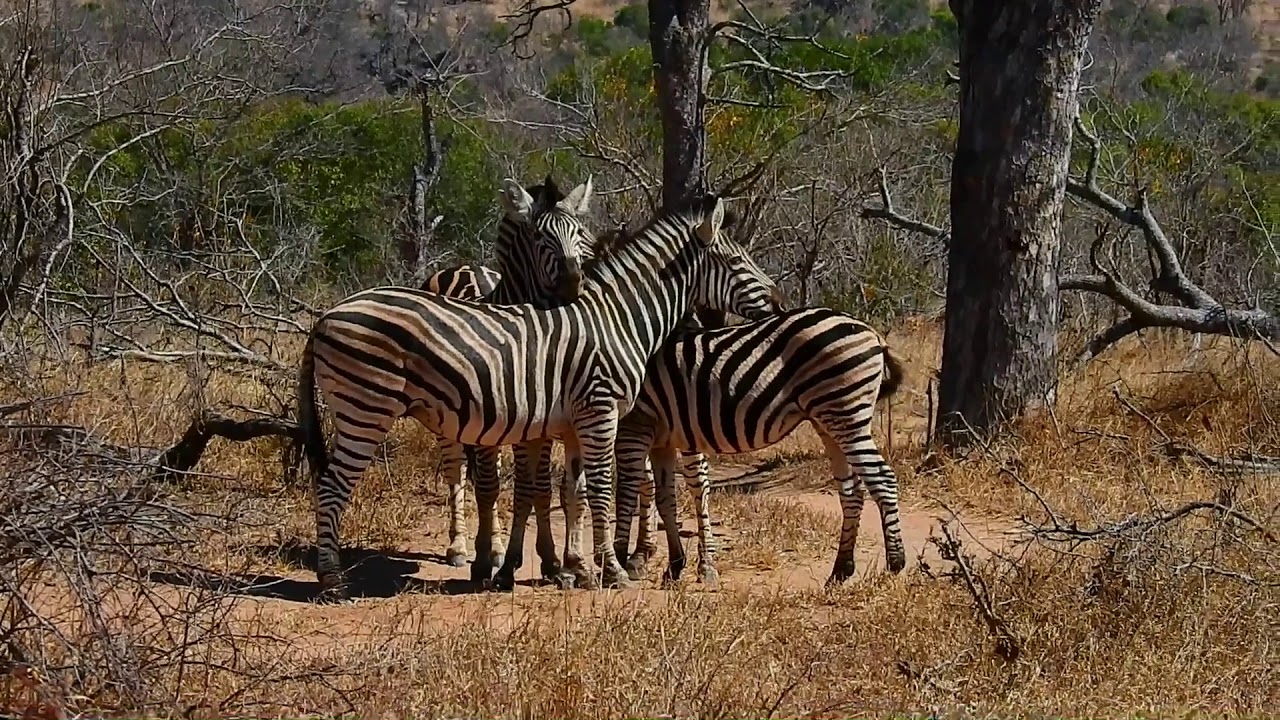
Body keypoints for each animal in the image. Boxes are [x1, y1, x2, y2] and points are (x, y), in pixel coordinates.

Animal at [296, 193, 785, 598]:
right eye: (738, 261)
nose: (780, 304)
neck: (617, 318)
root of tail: (324, 317)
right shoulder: (601, 412)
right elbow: (603, 489)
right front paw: (612, 570)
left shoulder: (573, 422)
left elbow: (575, 493)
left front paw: (578, 568)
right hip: (366, 409)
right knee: (332, 486)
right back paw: (332, 580)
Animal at [612, 306, 909, 589]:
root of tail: (873, 334)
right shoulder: (660, 439)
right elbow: (665, 499)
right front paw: (673, 566)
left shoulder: (634, 428)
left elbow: (625, 493)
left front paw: (619, 561)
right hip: (830, 420)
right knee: (851, 490)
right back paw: (840, 571)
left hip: (846, 413)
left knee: (882, 479)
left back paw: (895, 564)